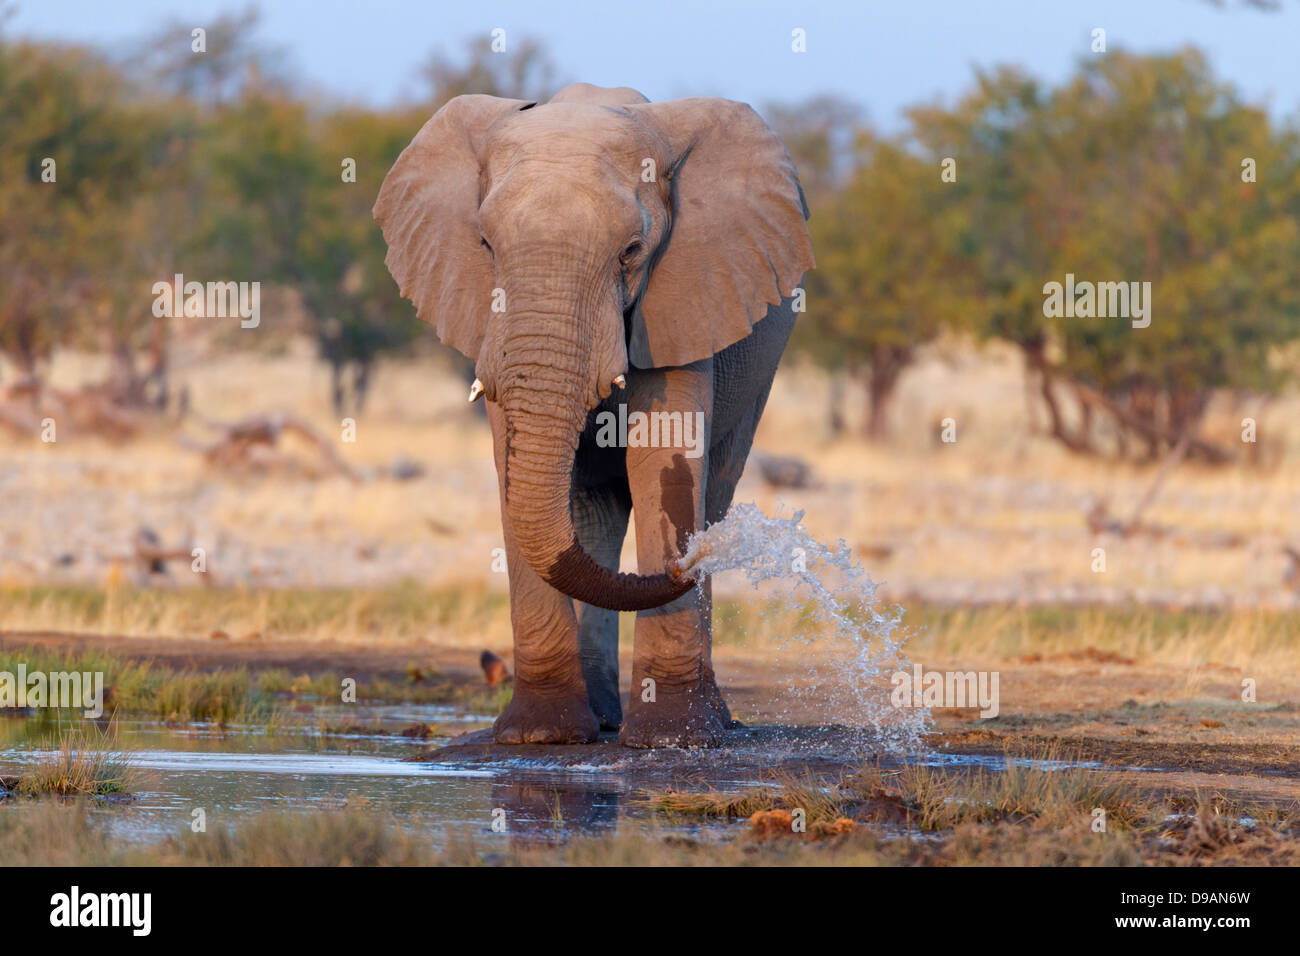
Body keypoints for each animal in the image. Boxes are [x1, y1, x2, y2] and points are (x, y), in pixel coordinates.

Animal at [374, 82, 814, 748]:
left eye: (632, 252)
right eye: (485, 246)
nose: (693, 557)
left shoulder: (684, 296)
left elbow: (665, 458)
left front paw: (670, 741)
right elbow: (514, 468)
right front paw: (539, 737)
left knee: (714, 487)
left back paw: (708, 721)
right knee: (593, 512)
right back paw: (600, 721)